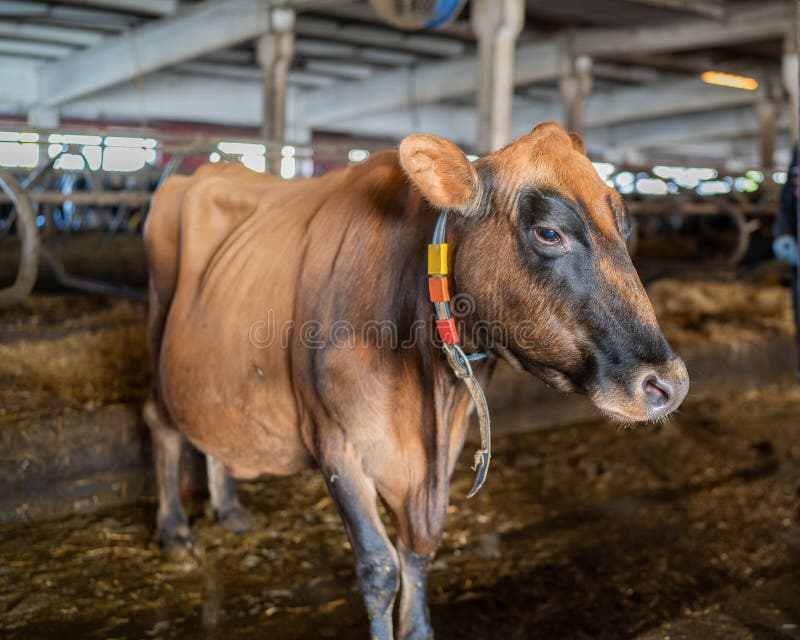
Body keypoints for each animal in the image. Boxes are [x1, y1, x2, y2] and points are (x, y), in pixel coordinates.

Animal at [142, 122, 689, 639]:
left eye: (626, 225)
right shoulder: (335, 441)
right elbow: (379, 566)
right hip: (157, 320)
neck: (427, 391)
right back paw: (175, 532)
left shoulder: (443, 448)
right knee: (161, 421)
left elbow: (418, 551)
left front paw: (419, 627)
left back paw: (228, 508)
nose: (668, 384)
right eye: (549, 233)